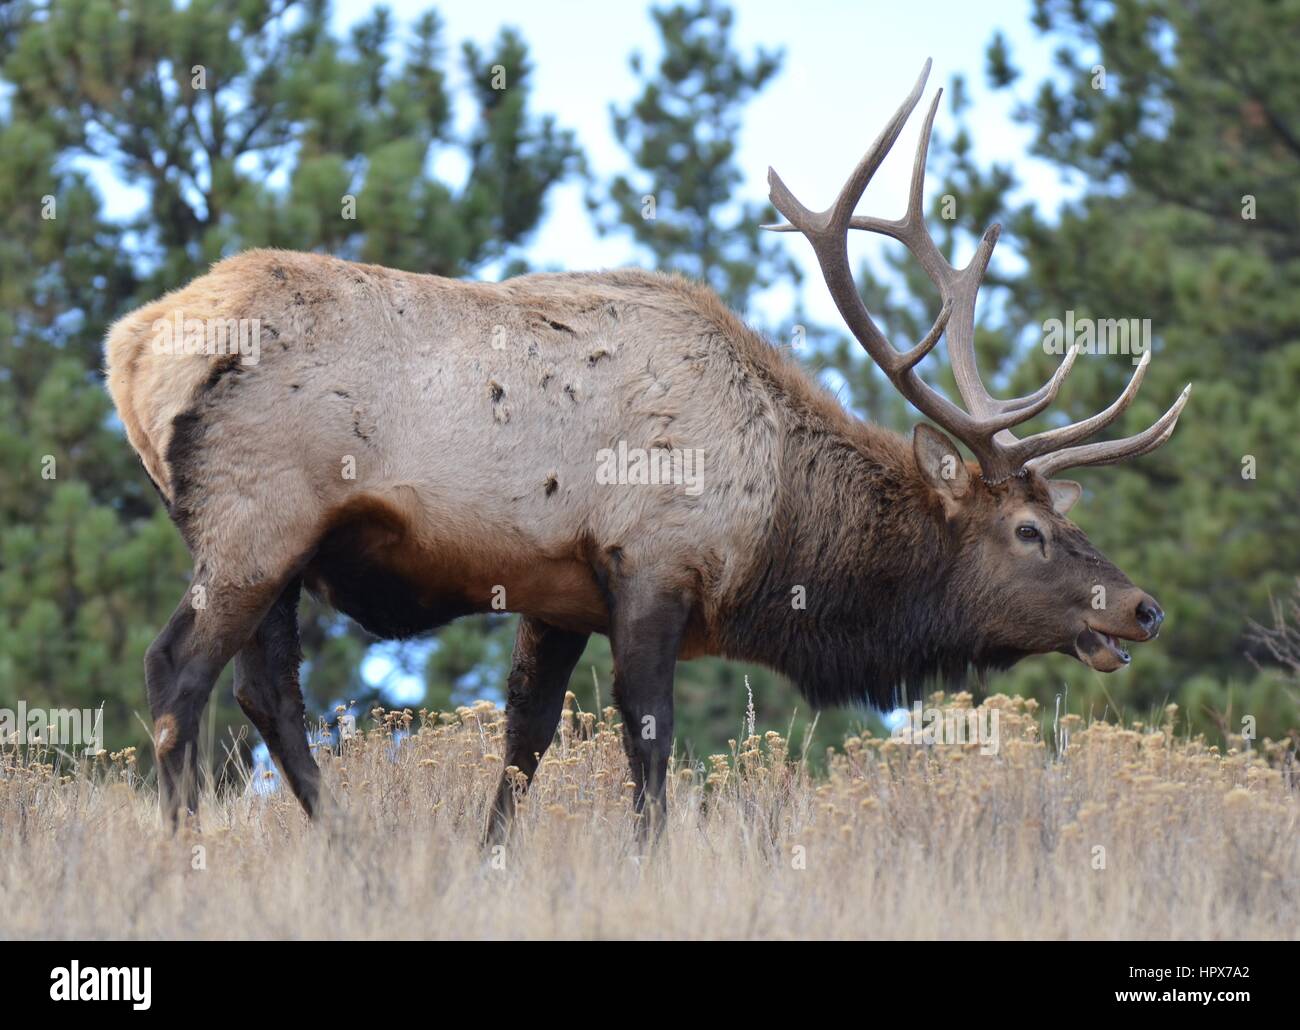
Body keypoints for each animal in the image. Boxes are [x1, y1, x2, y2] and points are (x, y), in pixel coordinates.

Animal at [103, 59, 1188, 840]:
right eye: (1027, 531)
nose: (1142, 606)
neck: (778, 531)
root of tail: (129, 350)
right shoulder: (655, 561)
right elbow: (651, 750)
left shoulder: (554, 595)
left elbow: (525, 742)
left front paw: (486, 862)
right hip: (256, 518)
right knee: (175, 674)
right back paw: (188, 849)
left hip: (275, 550)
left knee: (267, 695)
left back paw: (344, 849)